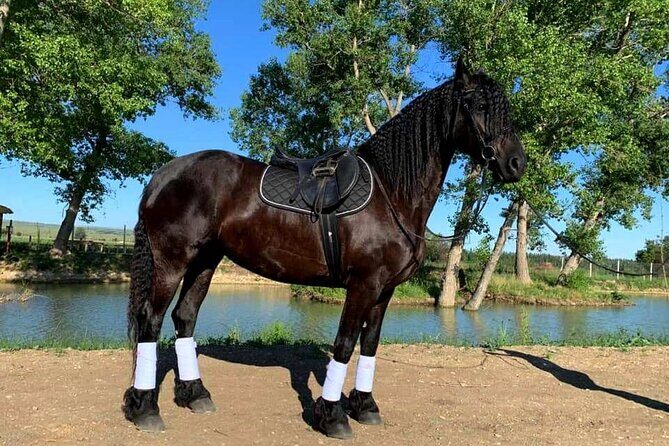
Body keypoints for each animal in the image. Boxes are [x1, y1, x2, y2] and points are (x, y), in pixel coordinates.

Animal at [121, 58, 527, 438]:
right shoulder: (363, 284)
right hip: (172, 262)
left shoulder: (385, 290)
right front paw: (333, 416)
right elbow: (345, 344)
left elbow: (370, 343)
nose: (516, 163)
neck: (390, 193)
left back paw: (195, 394)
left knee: (184, 318)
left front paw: (365, 406)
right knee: (150, 320)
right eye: (479, 106)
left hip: (205, 261)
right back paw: (145, 408)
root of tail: (165, 174)